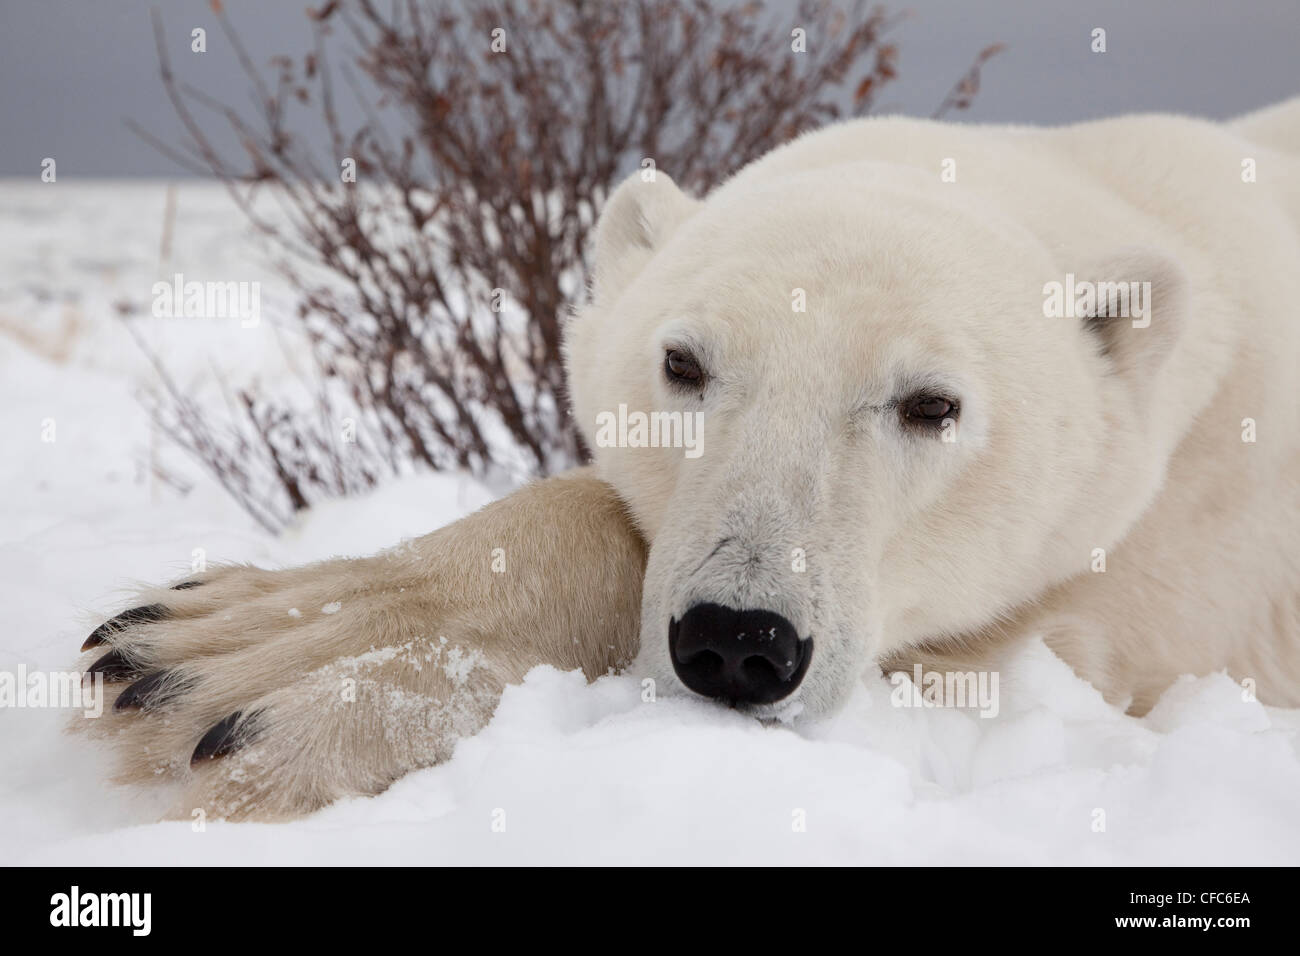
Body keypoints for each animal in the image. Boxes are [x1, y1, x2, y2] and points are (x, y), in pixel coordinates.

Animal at [73, 97, 1300, 820]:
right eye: (682, 361)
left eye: (932, 405)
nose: (741, 641)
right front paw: (190, 642)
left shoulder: (1166, 587)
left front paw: (243, 696)